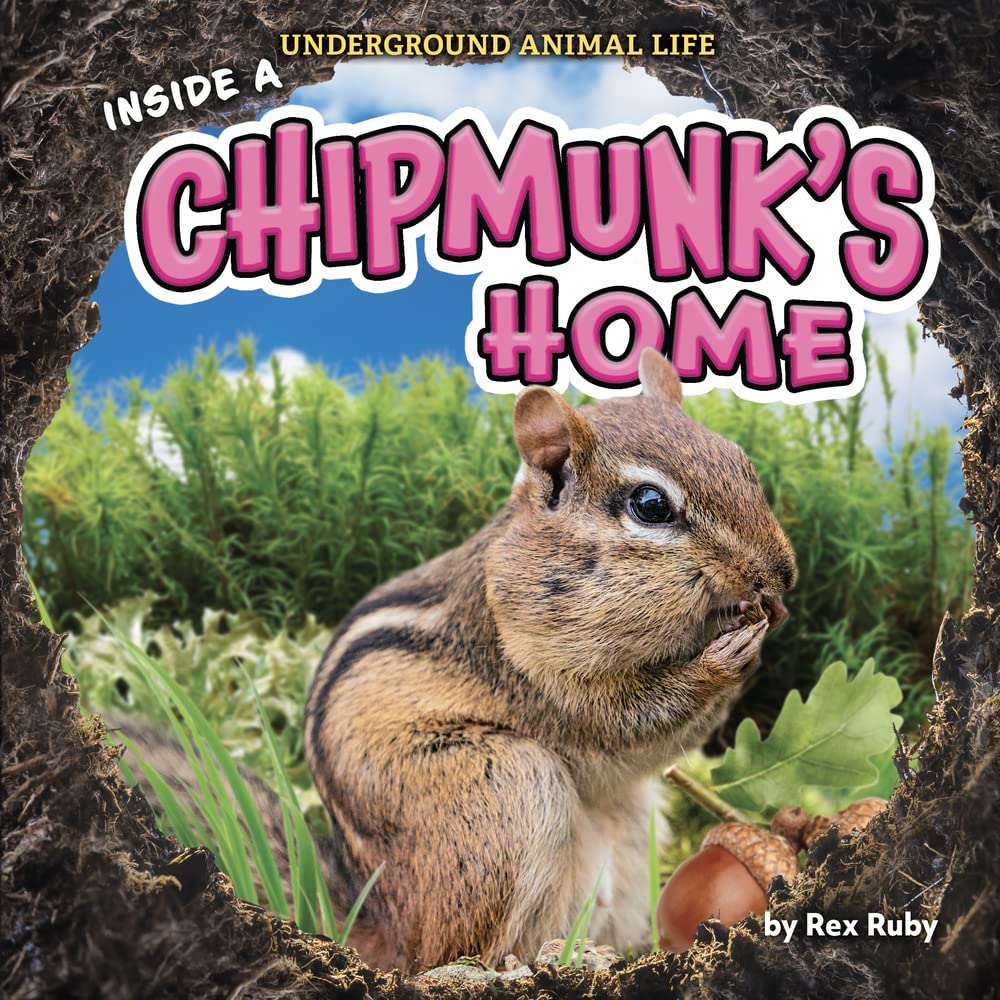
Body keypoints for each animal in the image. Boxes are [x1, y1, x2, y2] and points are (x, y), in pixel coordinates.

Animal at [302, 348, 797, 971]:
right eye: (651, 505)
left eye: (743, 462)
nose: (783, 577)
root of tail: (384, 924)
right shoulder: (534, 673)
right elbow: (629, 719)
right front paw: (727, 657)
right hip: (506, 787)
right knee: (451, 954)